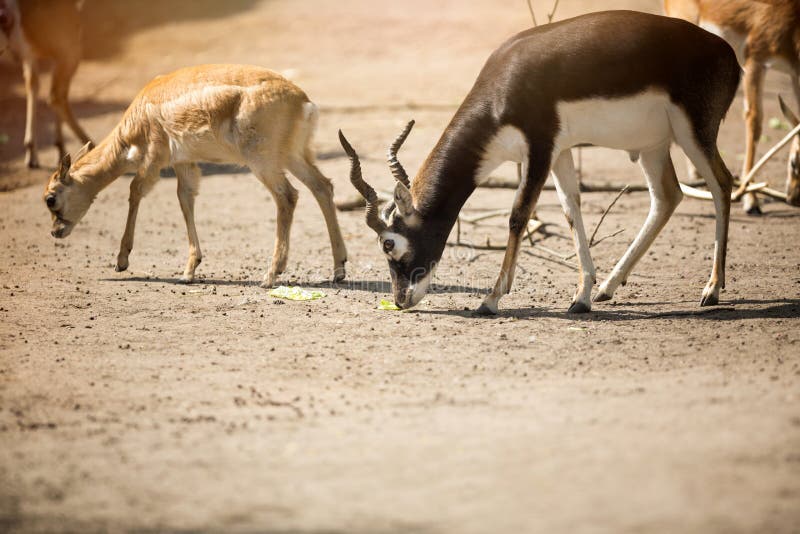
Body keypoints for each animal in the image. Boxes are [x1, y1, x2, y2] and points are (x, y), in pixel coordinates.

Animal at [0, 0, 92, 168]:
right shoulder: (65, 41)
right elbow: (57, 94)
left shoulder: (31, 52)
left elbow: (33, 85)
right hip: (69, 46)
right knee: (55, 96)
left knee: (36, 85)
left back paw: (34, 156)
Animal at [43, 64, 348, 286]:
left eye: (50, 198)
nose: (55, 231)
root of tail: (304, 103)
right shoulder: (184, 163)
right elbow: (185, 199)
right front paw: (188, 271)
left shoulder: (154, 159)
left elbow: (135, 191)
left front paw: (121, 261)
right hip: (293, 156)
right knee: (323, 186)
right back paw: (339, 269)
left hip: (263, 161)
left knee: (288, 196)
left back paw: (270, 275)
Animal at [340, 11, 740, 314]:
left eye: (389, 244)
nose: (400, 300)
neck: (506, 86)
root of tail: (728, 55)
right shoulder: (560, 150)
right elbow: (570, 210)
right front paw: (581, 297)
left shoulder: (540, 147)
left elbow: (518, 216)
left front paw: (490, 300)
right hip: (653, 144)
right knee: (668, 196)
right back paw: (608, 288)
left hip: (694, 131)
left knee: (722, 183)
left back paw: (712, 290)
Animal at [664, 0, 800, 212]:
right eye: (793, 162)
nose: (794, 199)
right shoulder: (755, 60)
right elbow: (754, 122)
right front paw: (751, 201)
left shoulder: (794, 74)